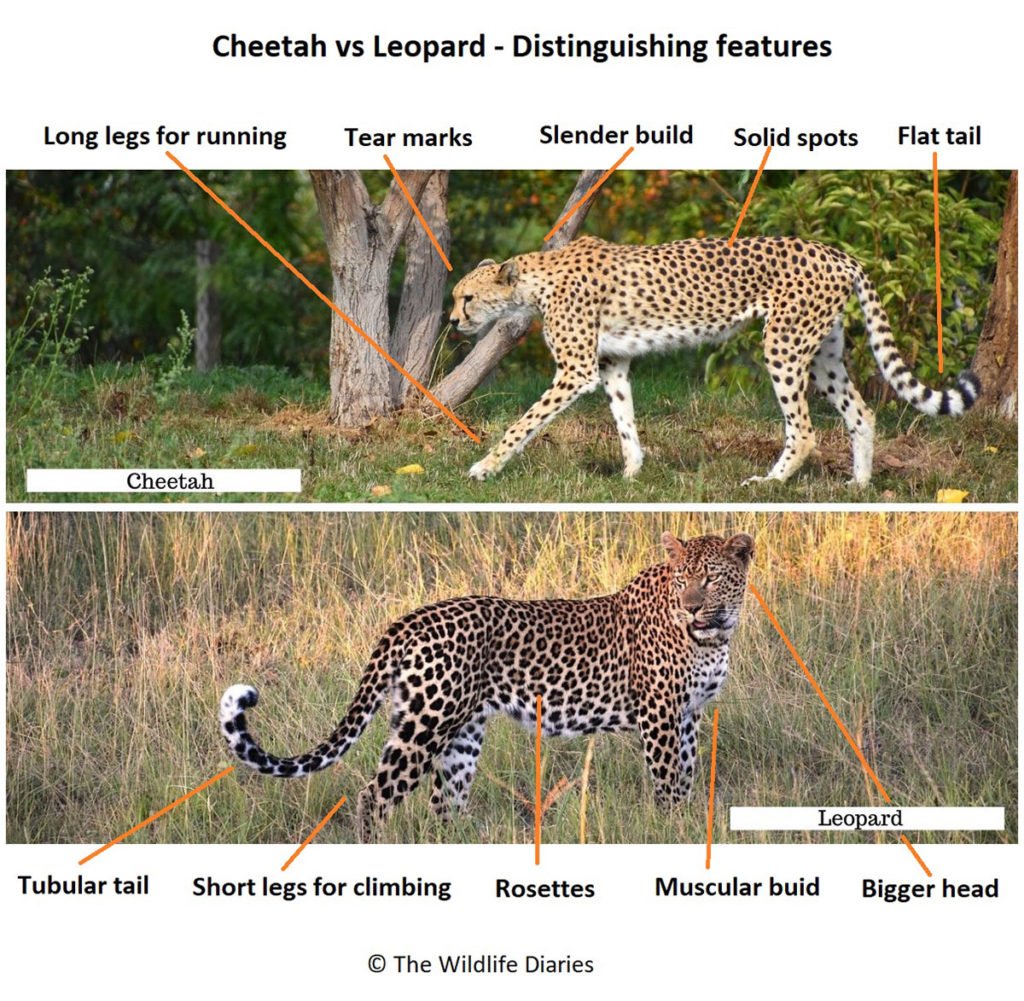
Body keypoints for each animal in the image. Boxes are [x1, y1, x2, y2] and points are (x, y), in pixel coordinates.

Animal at [219, 530, 754, 841]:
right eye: (683, 579)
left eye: (709, 579)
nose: (690, 606)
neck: (715, 633)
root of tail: (409, 619)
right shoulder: (660, 714)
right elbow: (667, 780)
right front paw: (671, 828)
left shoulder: (688, 715)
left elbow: (687, 774)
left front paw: (687, 821)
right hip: (425, 725)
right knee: (375, 796)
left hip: (461, 734)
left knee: (444, 804)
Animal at [449, 235, 981, 486]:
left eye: (467, 298)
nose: (453, 321)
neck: (535, 281)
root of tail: (835, 252)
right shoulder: (612, 363)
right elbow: (624, 420)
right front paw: (632, 472)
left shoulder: (577, 371)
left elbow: (523, 423)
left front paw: (485, 467)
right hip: (821, 351)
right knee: (861, 412)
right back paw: (859, 483)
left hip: (783, 344)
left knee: (804, 429)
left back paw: (770, 482)